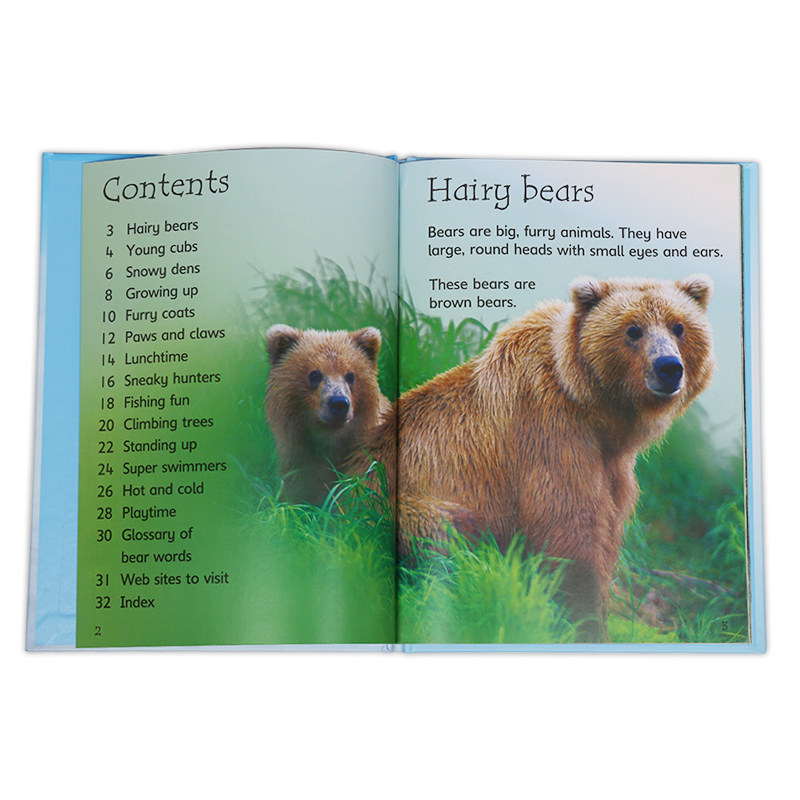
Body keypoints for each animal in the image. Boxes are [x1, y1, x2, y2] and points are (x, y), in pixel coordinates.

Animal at [347, 275, 716, 641]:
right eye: (633, 329)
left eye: (678, 327)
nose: (669, 368)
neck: (594, 408)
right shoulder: (550, 432)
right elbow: (569, 530)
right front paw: (585, 623)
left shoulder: (613, 468)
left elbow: (606, 532)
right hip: (397, 503)